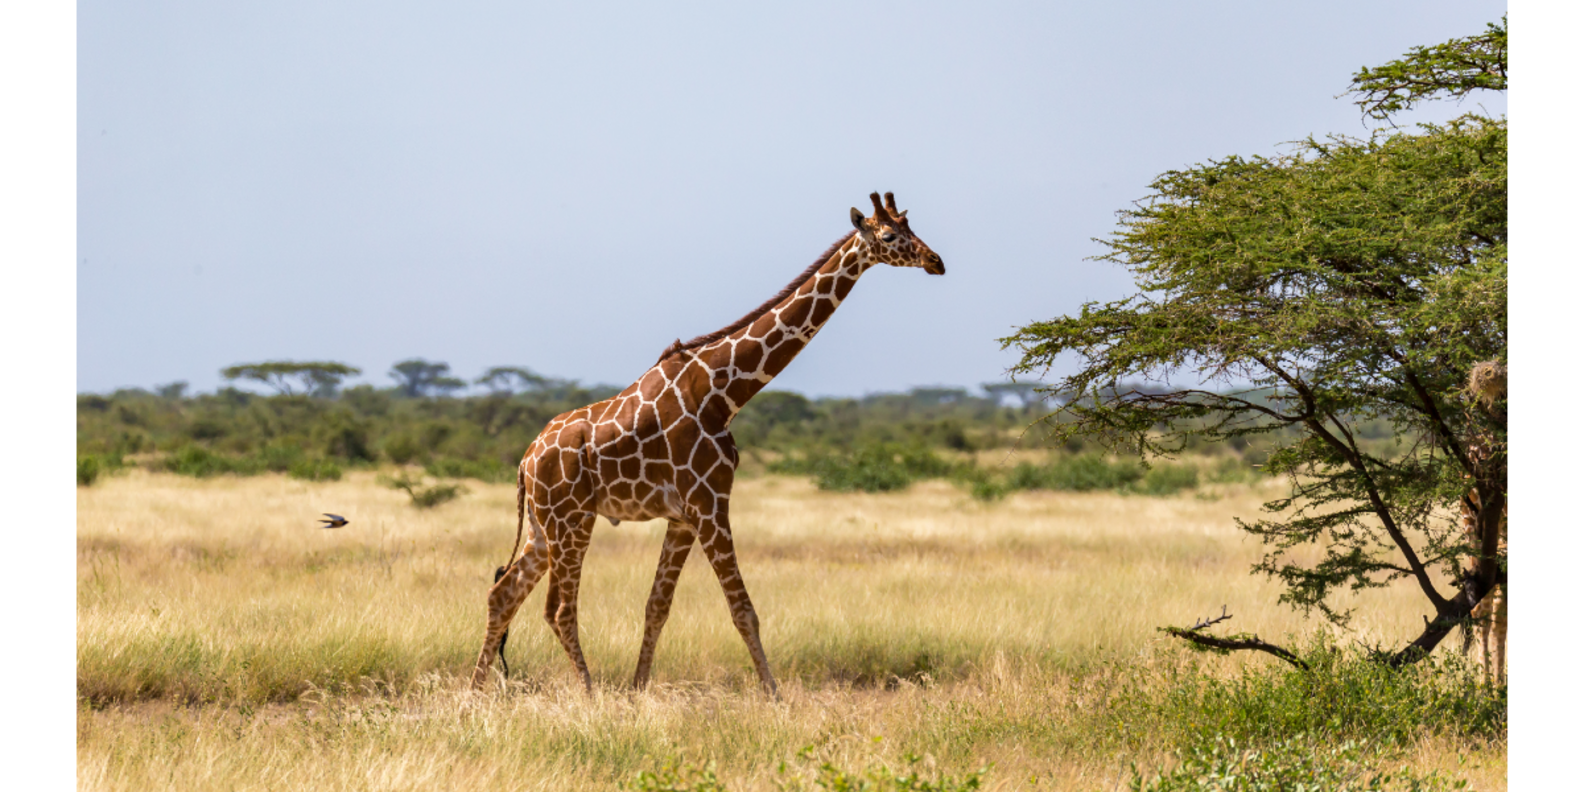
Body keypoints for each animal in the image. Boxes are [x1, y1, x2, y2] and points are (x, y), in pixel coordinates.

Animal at [470, 192, 945, 694]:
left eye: (912, 227)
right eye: (890, 236)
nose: (936, 261)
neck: (724, 391)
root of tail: (524, 461)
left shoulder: (683, 516)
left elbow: (657, 607)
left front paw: (638, 691)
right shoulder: (710, 502)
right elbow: (743, 610)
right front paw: (774, 695)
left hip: (544, 526)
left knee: (502, 593)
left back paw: (475, 692)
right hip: (572, 520)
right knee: (558, 609)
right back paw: (590, 693)